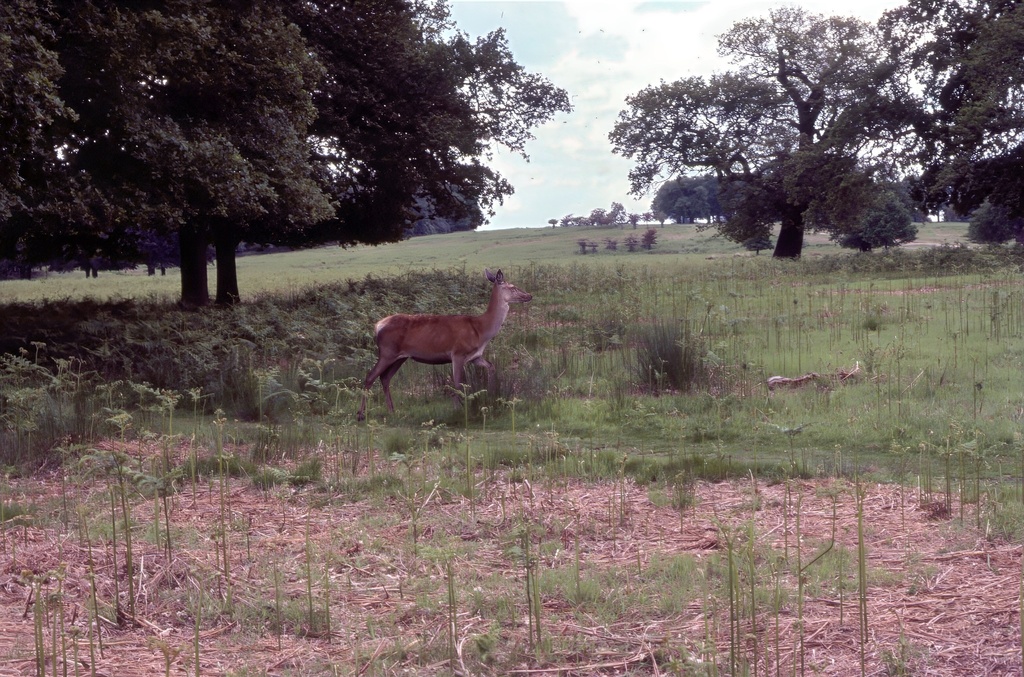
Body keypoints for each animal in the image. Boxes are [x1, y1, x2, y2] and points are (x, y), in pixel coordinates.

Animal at [356, 268, 532, 421]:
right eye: (512, 287)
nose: (529, 295)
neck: (481, 330)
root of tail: (377, 326)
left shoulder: (475, 356)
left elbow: (491, 366)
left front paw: (490, 392)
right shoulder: (458, 353)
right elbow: (457, 384)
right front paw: (458, 410)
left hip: (400, 357)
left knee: (385, 378)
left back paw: (392, 411)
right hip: (387, 352)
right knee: (370, 377)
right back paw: (361, 415)